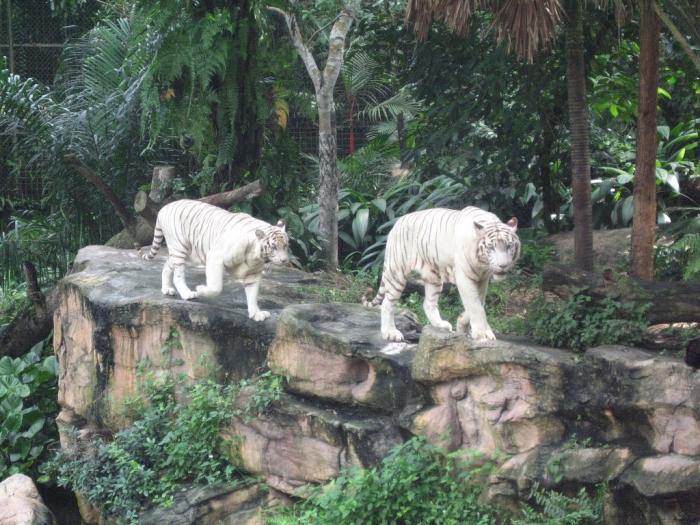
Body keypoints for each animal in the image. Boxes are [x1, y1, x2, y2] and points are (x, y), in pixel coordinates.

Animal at [136, 199, 289, 321]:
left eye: (286, 245)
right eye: (274, 247)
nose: (284, 260)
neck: (256, 255)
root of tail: (164, 208)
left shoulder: (254, 273)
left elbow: (252, 294)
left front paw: (256, 314)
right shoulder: (215, 257)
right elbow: (216, 287)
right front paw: (201, 289)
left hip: (179, 251)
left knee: (166, 266)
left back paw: (166, 289)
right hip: (180, 248)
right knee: (178, 276)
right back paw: (188, 294)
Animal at [362, 206, 520, 341]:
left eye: (509, 246)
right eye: (491, 247)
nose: (503, 265)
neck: (482, 266)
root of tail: (397, 222)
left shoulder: (482, 279)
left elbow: (478, 303)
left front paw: (462, 325)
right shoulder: (465, 278)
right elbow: (475, 306)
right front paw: (484, 334)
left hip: (433, 276)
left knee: (428, 303)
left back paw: (440, 325)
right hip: (397, 272)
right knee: (387, 303)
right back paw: (390, 332)